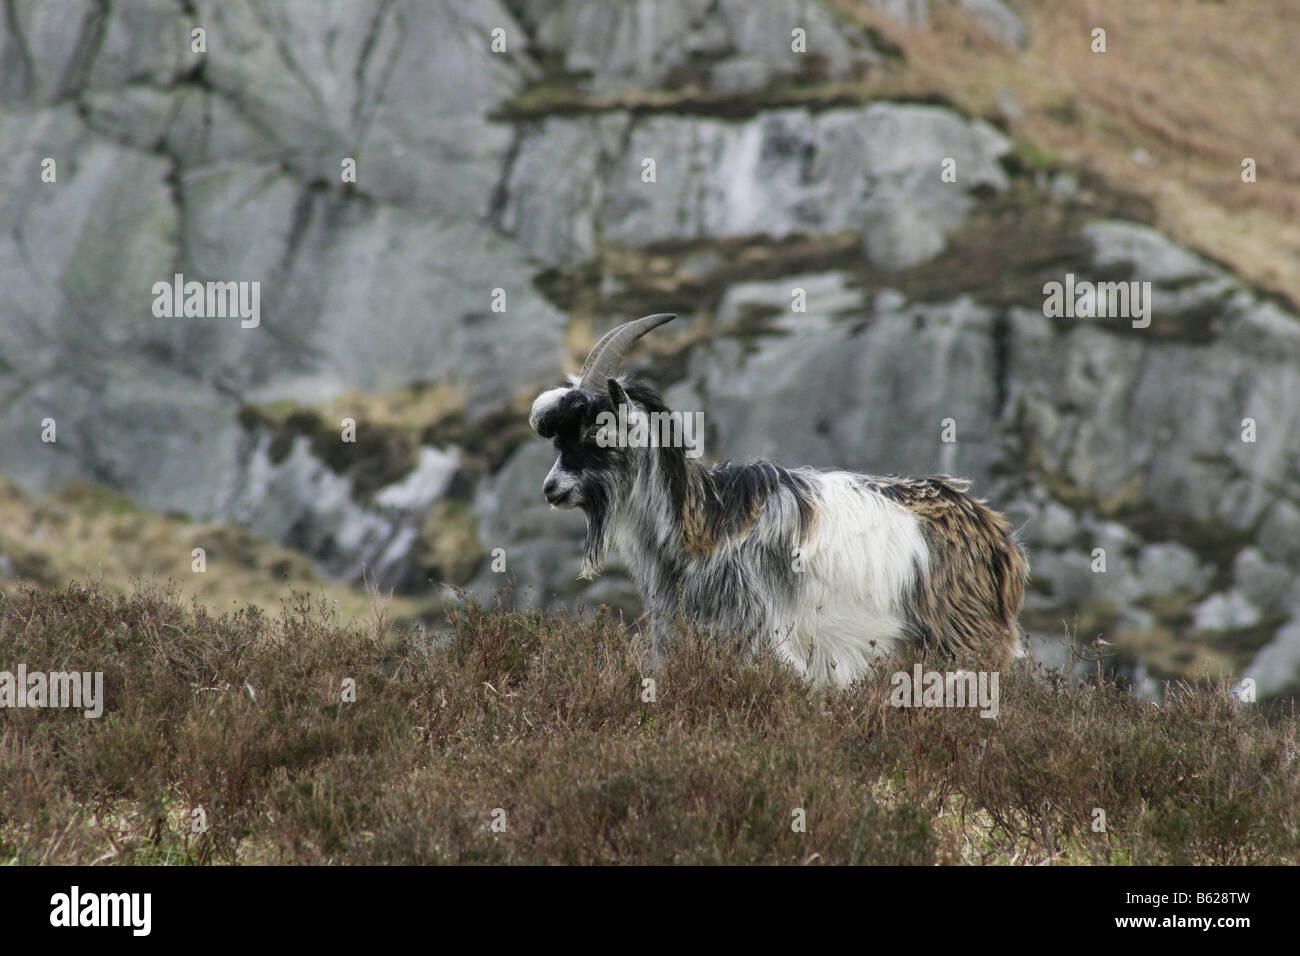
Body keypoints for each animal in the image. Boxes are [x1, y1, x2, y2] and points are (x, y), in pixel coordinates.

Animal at [529, 313, 1029, 687]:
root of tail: (995, 535)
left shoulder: (759, 634)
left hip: (963, 641)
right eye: (559, 438)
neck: (707, 524)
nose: (550, 488)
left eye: (595, 433)